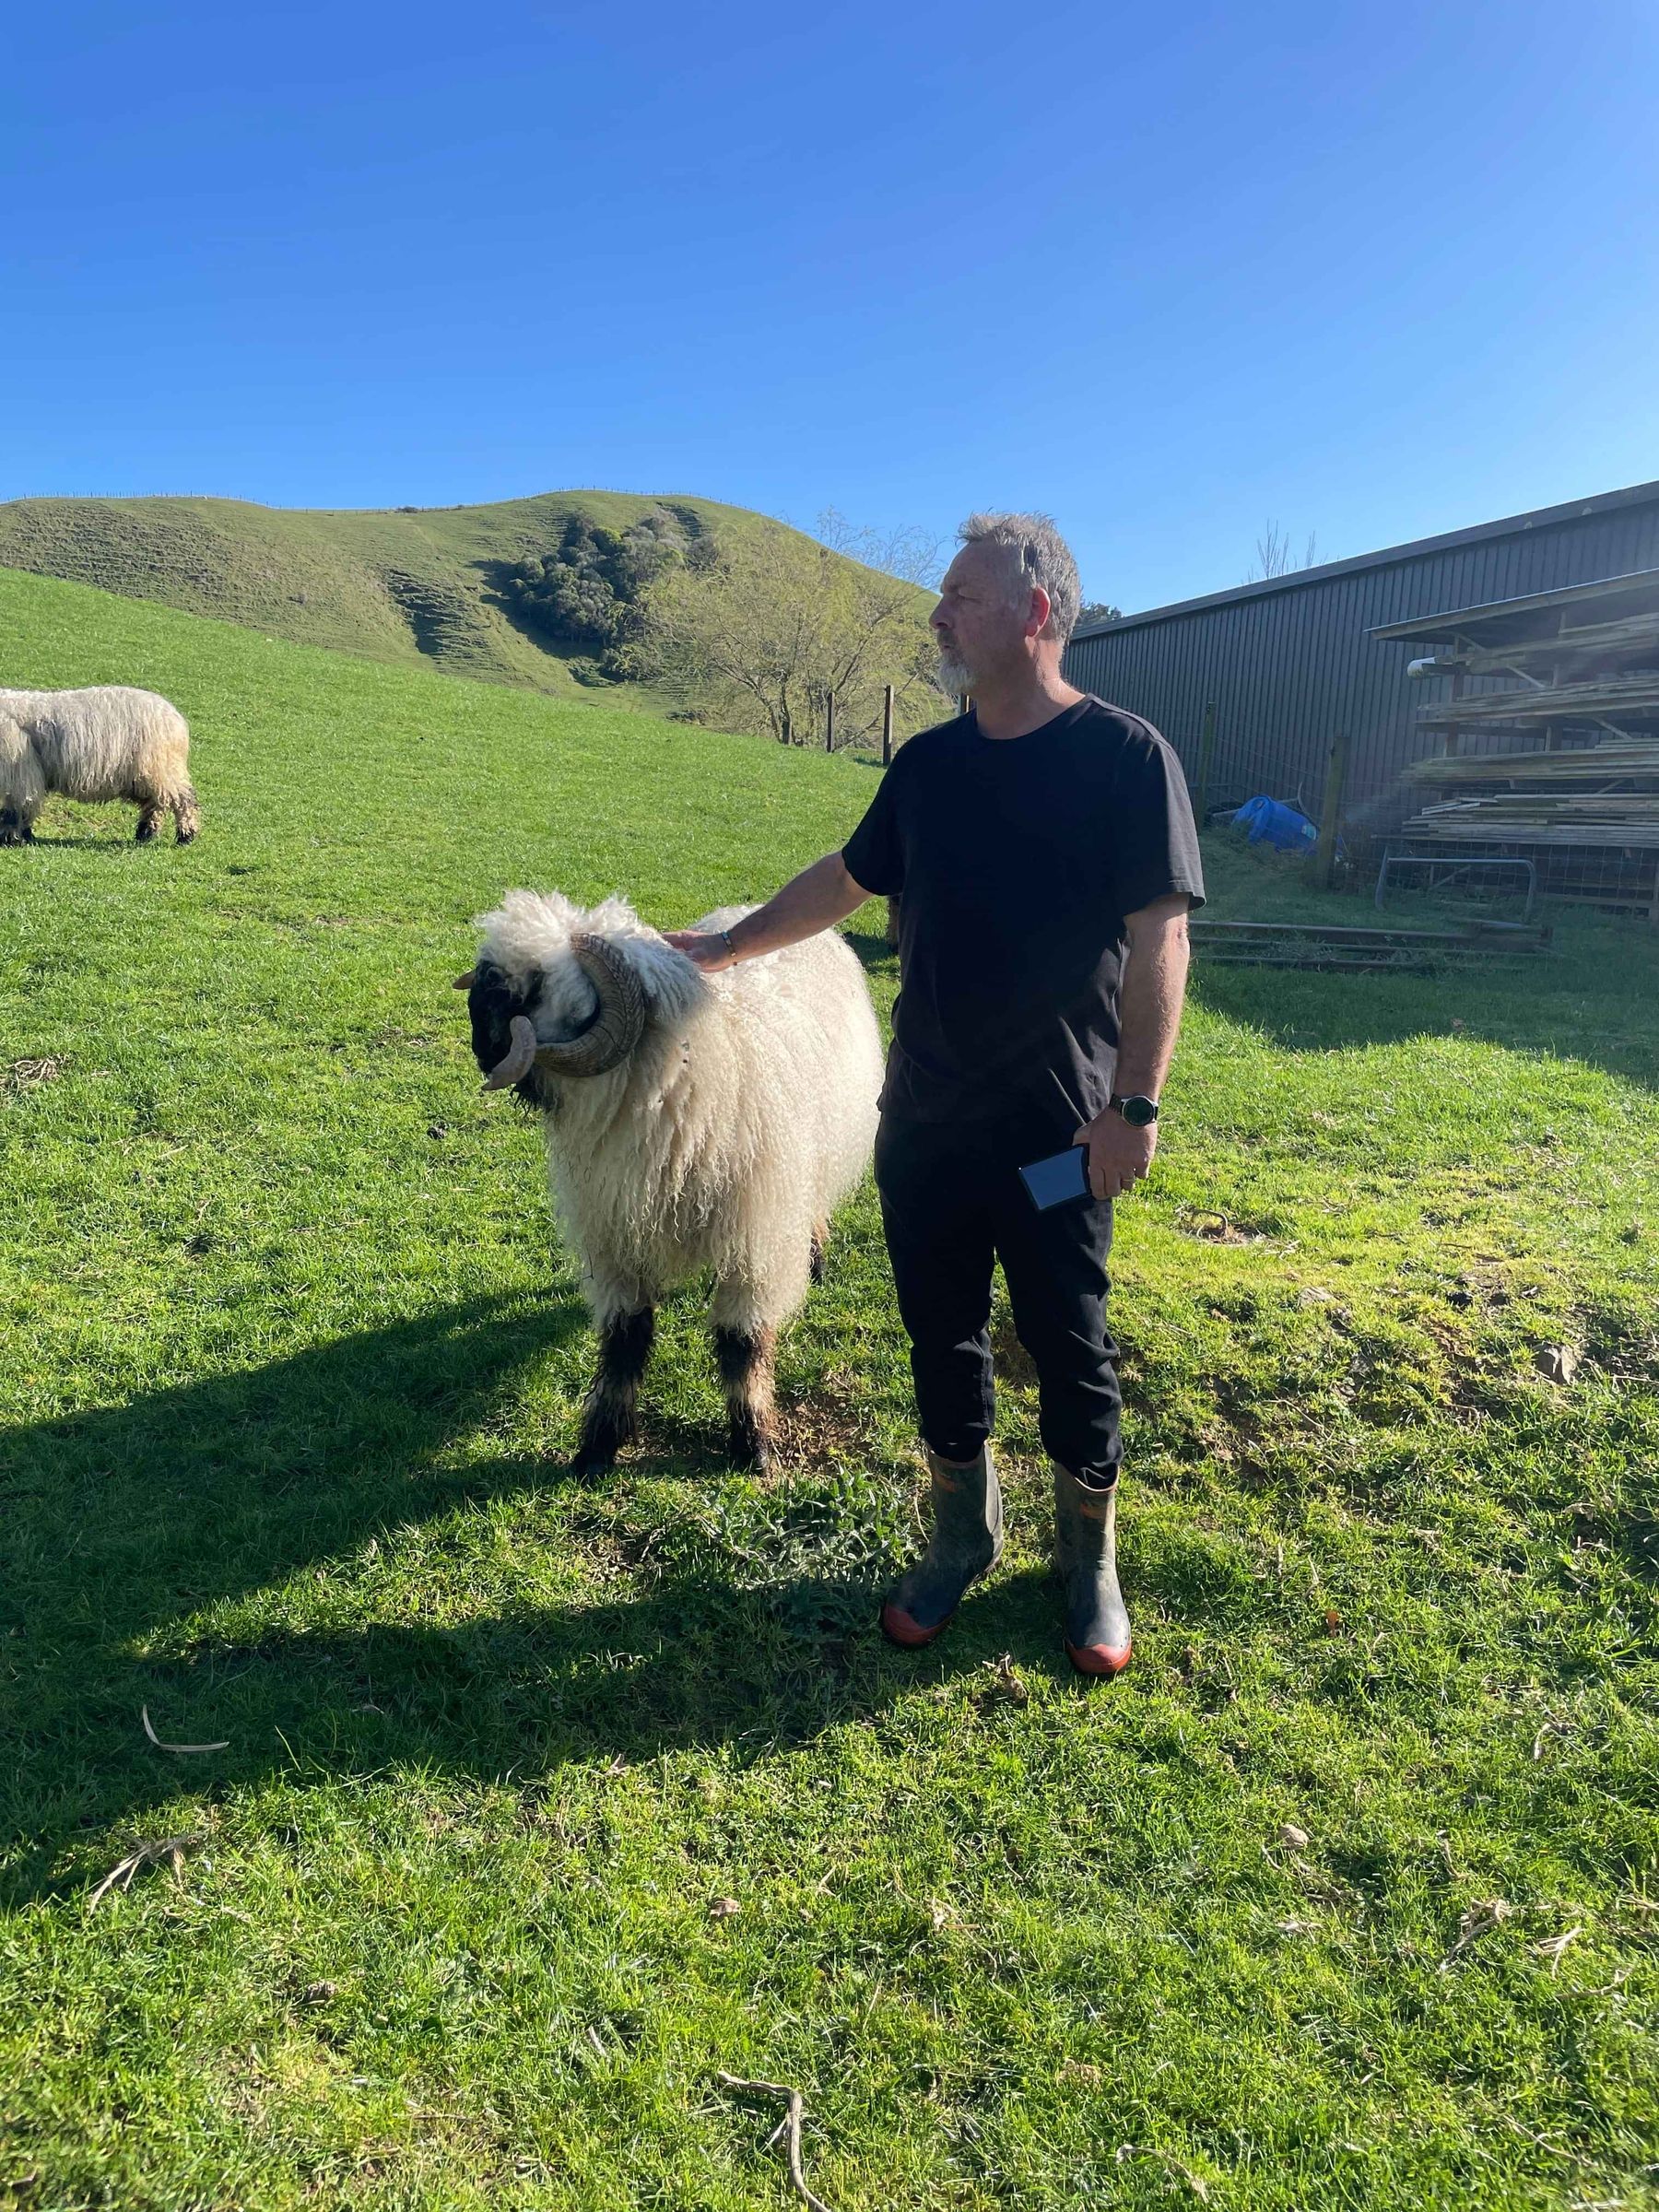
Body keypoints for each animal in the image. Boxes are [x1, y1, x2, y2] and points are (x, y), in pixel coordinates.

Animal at [0, 686, 200, 846]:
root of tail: (175, 718)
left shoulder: (20, 774)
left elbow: (15, 809)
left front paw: (10, 838)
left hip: (160, 767)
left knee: (183, 800)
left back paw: (186, 835)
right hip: (148, 774)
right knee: (156, 803)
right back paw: (146, 833)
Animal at [458, 889, 883, 1474]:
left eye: (538, 986)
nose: (479, 1037)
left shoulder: (755, 1243)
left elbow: (741, 1343)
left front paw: (754, 1443)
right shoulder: (617, 1237)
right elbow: (625, 1341)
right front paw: (599, 1446)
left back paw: (815, 1258)